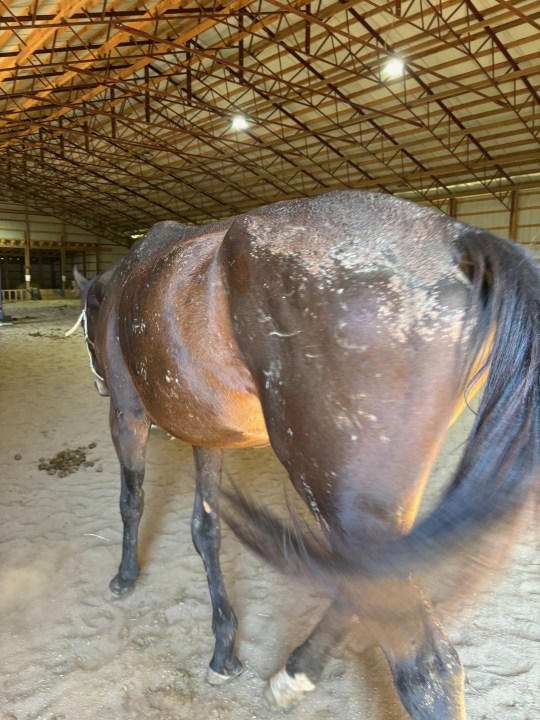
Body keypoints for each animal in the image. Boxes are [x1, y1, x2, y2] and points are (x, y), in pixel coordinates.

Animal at [71, 190, 538, 719]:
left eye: (86, 328)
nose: (97, 382)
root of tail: (457, 237)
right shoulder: (208, 438)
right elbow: (205, 531)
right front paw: (224, 647)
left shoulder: (127, 417)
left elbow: (132, 502)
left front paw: (125, 577)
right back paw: (295, 672)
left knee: (429, 669)